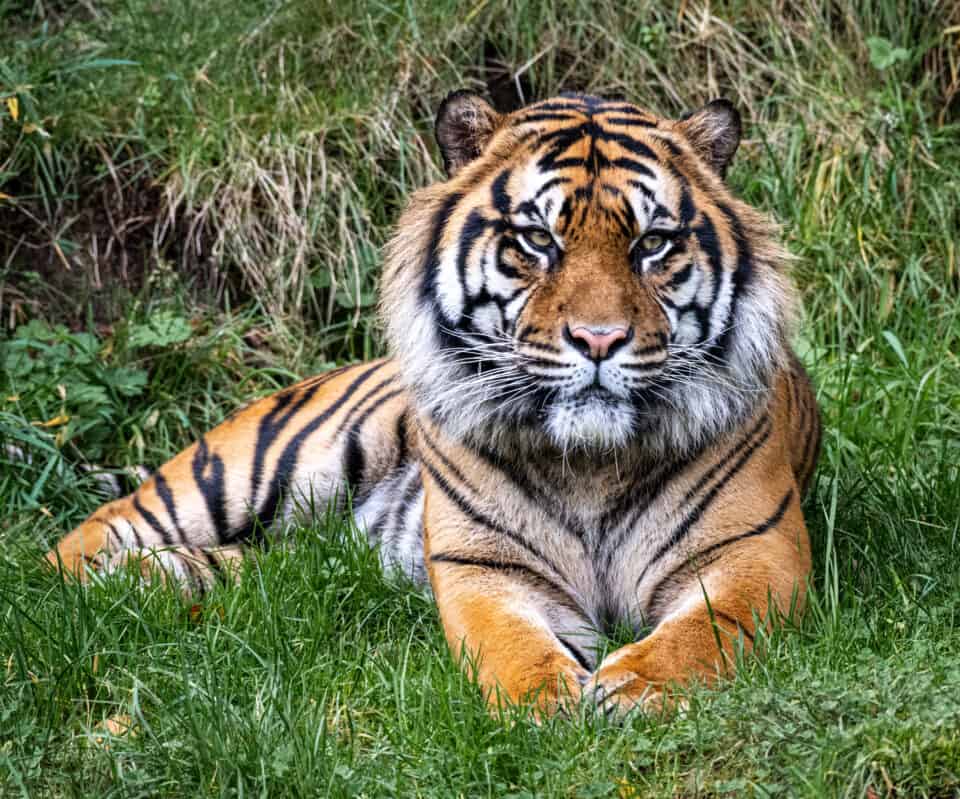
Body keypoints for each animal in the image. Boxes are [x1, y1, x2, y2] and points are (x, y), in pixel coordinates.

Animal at [47, 90, 821, 718]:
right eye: (537, 239)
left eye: (652, 243)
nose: (599, 339)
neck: (592, 465)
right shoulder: (485, 568)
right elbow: (507, 642)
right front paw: (547, 704)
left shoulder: (754, 552)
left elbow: (706, 631)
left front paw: (634, 687)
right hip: (264, 463)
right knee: (86, 536)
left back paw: (159, 577)